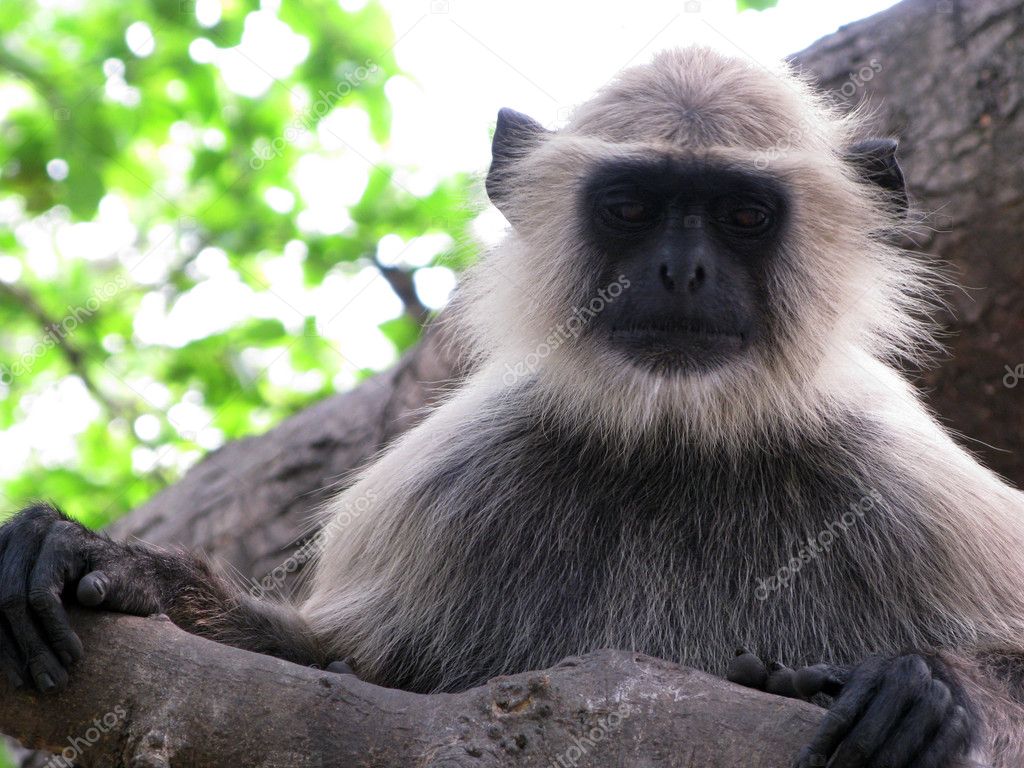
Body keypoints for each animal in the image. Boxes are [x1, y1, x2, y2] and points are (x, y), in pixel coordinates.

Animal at [1, 46, 1023, 767]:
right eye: (630, 206)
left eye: (742, 215)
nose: (682, 272)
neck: (676, 443)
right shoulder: (459, 477)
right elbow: (327, 674)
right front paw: (115, 563)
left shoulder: (894, 473)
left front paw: (933, 690)